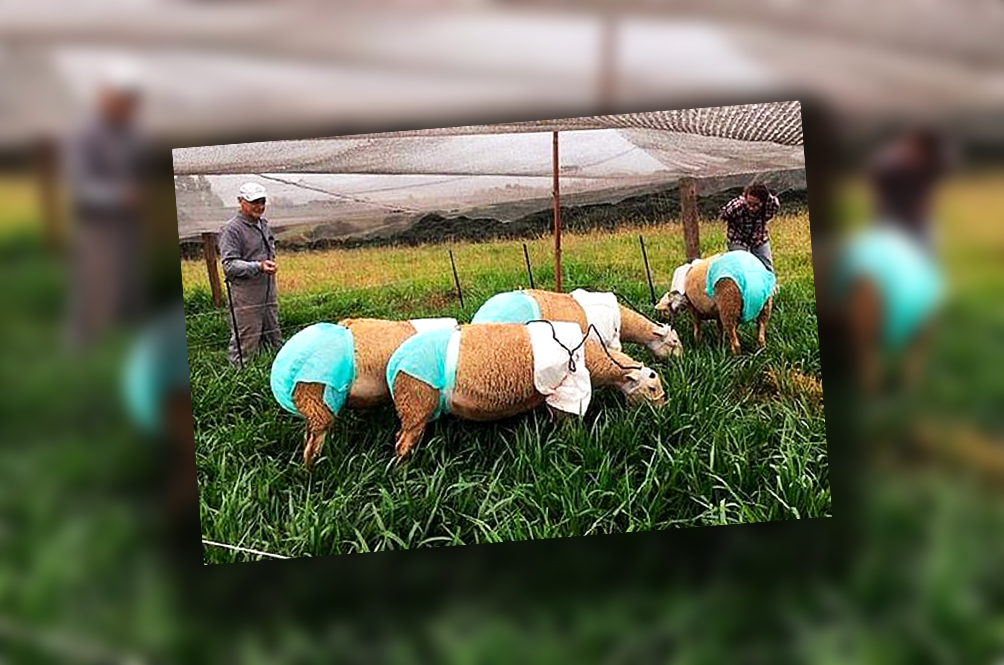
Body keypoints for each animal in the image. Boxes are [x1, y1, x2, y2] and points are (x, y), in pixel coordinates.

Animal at [387, 322, 666, 460]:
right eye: (652, 387)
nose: (664, 413)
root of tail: (395, 361)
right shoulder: (562, 387)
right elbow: (566, 420)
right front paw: (573, 441)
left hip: (413, 407)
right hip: (416, 402)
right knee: (403, 443)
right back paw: (403, 471)